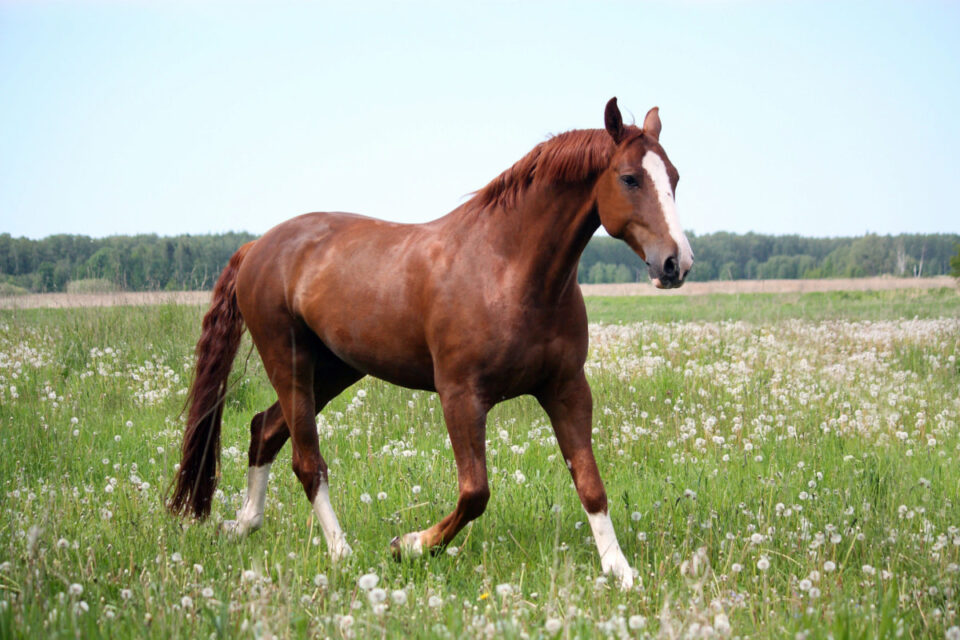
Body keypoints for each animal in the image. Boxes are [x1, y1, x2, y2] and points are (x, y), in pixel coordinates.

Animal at [168, 97, 693, 589]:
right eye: (629, 178)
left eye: (673, 177)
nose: (676, 263)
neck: (507, 269)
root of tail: (257, 246)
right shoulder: (461, 396)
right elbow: (475, 492)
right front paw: (409, 545)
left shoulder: (566, 389)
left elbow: (590, 484)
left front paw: (620, 572)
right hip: (289, 360)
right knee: (306, 460)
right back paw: (341, 552)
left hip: (334, 369)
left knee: (265, 430)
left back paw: (243, 525)